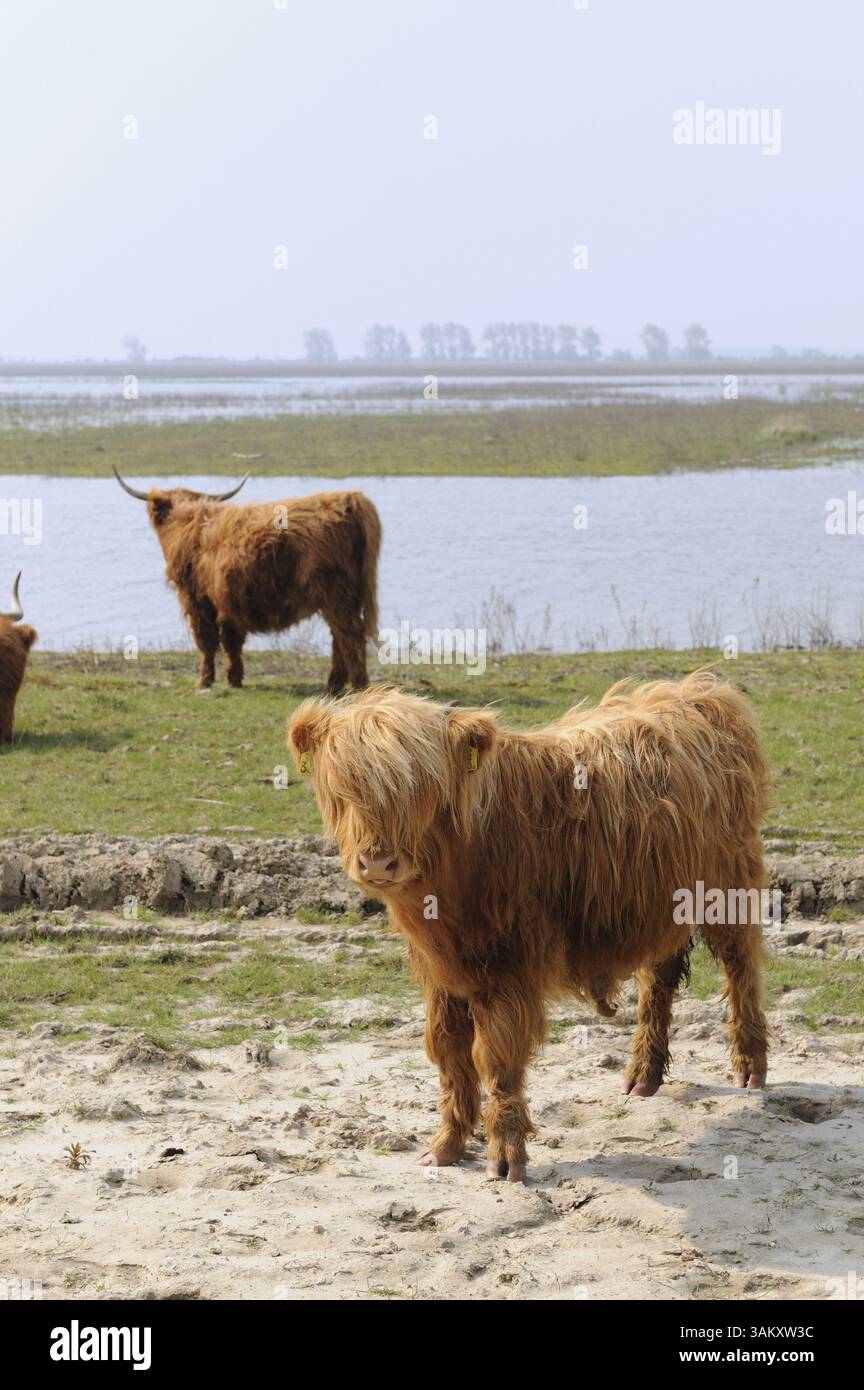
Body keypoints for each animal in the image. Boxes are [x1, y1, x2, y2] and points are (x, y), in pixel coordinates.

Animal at [113, 470, 381, 693]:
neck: (186, 522)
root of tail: (351, 500)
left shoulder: (196, 598)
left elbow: (206, 640)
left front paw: (204, 680)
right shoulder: (229, 600)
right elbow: (232, 641)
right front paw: (234, 678)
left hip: (335, 594)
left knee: (350, 634)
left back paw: (359, 686)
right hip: (346, 596)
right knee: (340, 638)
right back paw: (333, 686)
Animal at [289, 673, 770, 1182]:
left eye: (421, 789)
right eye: (342, 787)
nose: (378, 862)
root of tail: (699, 690)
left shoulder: (509, 965)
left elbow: (497, 1056)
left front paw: (505, 1157)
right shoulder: (440, 972)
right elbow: (447, 1050)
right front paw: (446, 1145)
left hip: (729, 883)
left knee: (741, 966)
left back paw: (750, 1067)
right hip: (661, 902)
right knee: (659, 976)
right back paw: (643, 1075)